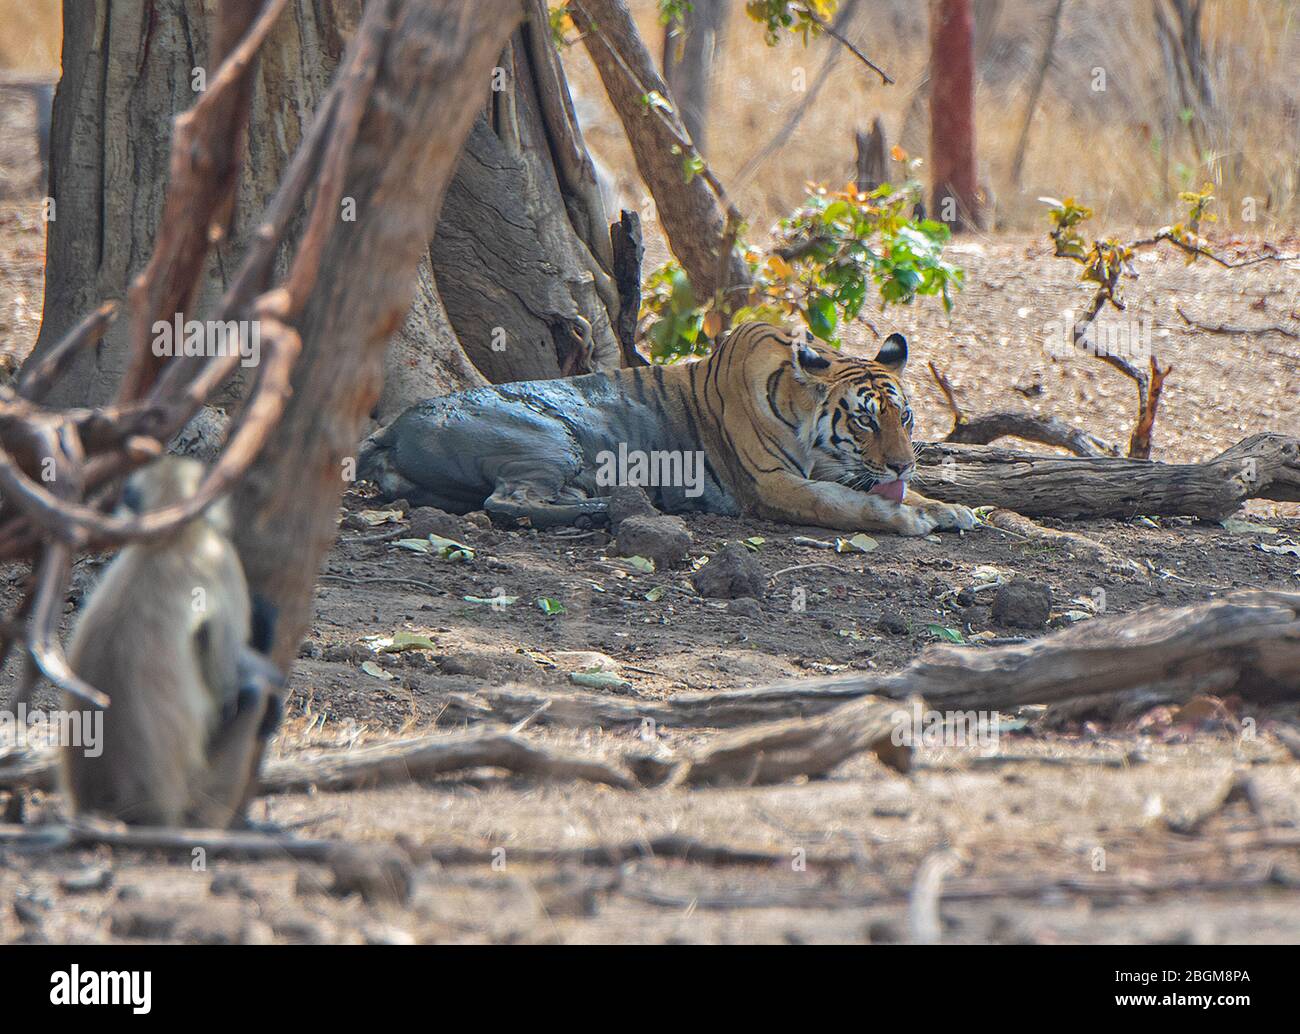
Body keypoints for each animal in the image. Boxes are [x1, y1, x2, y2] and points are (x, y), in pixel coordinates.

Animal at [357, 322, 977, 536]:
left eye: (905, 417)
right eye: (865, 419)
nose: (903, 462)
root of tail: (396, 425)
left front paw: (947, 508)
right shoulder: (774, 485)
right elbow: (845, 504)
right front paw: (913, 519)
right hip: (547, 439)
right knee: (505, 502)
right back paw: (605, 509)